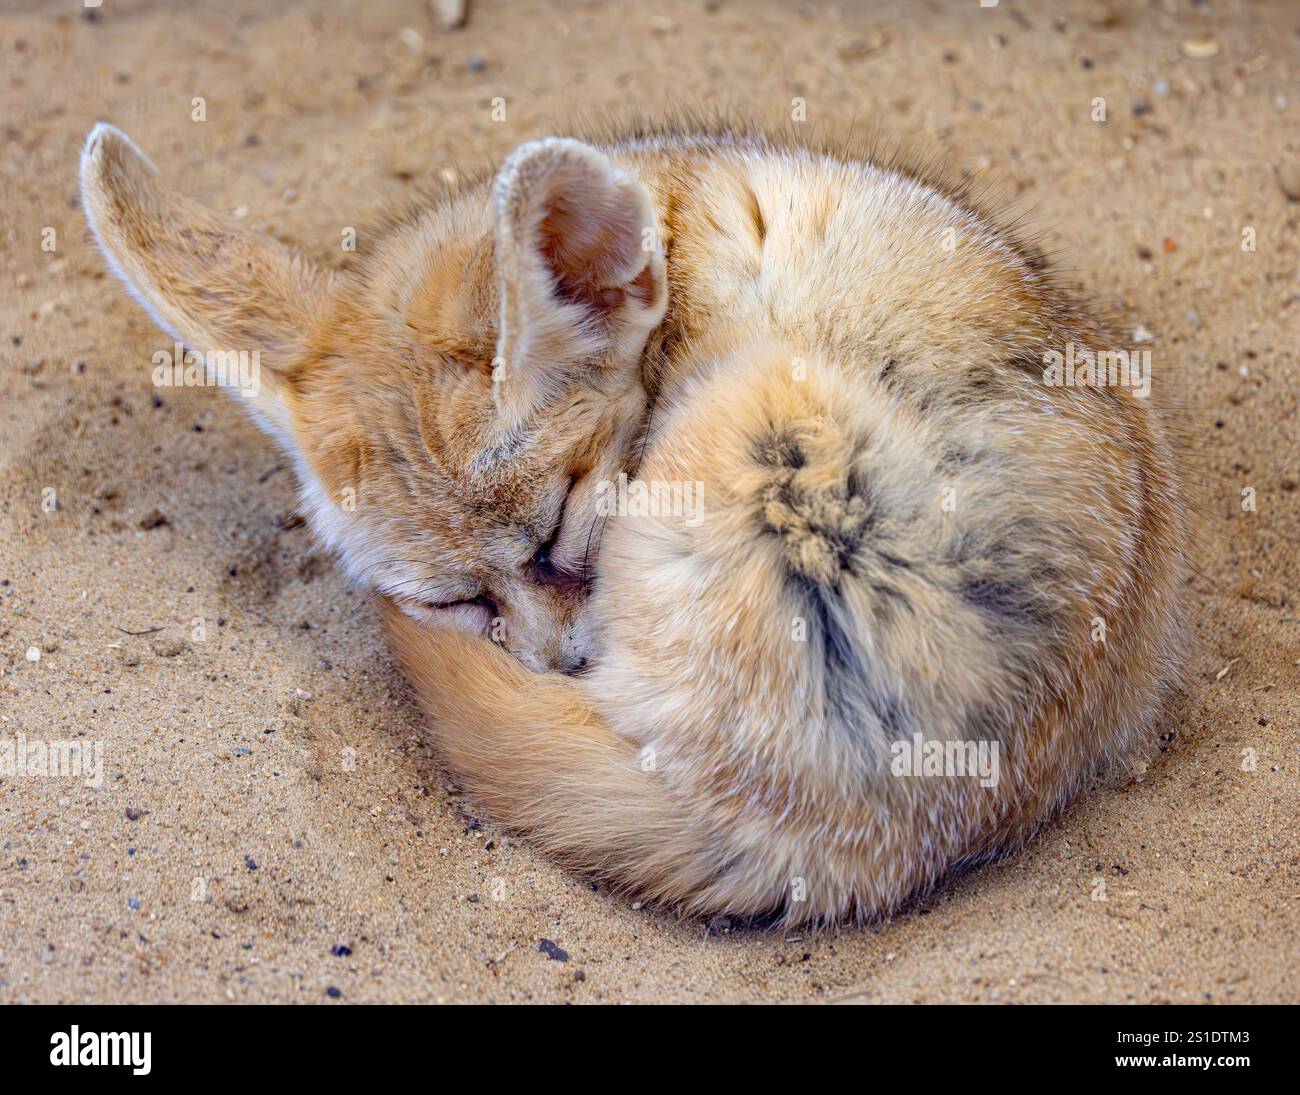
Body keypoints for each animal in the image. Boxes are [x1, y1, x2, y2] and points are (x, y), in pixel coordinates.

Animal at [80, 118, 1188, 925]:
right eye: (458, 600)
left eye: (561, 534)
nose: (554, 664)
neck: (682, 226)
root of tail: (864, 841)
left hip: (769, 436)